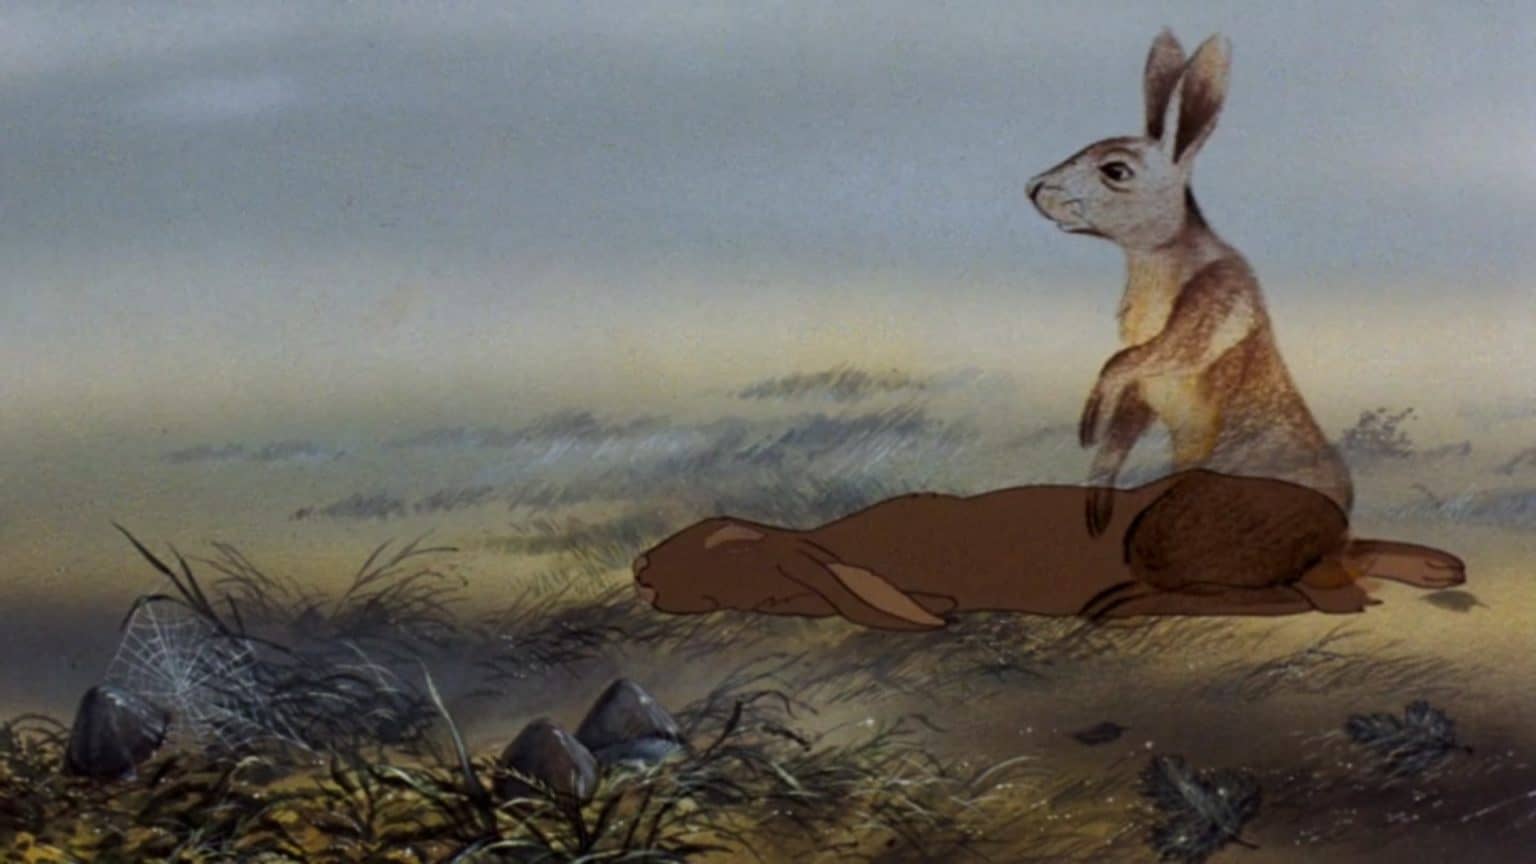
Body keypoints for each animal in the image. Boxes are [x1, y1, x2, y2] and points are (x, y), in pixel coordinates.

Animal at [1026, 30, 1353, 536]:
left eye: (1115, 170)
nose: (1034, 190)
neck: (1160, 255)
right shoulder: (1144, 386)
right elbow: (1123, 419)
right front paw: (1097, 504)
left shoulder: (1211, 306)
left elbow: (1130, 359)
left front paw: (1088, 420)